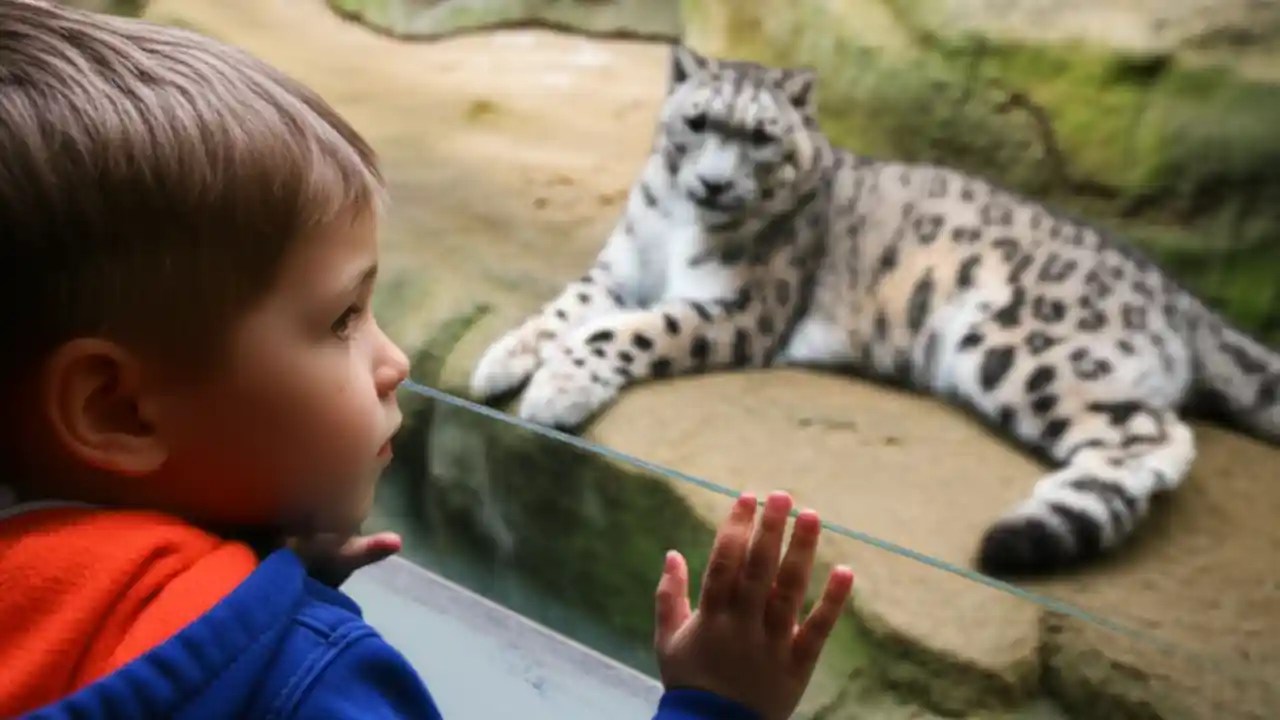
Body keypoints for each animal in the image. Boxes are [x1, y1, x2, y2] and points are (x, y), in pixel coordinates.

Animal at [468, 44, 1280, 577]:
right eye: (696, 122)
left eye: (760, 137)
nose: (713, 184)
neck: (672, 228)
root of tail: (1174, 293)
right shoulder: (619, 268)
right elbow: (568, 308)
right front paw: (503, 358)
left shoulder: (736, 305)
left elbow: (629, 331)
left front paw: (557, 386)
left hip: (1023, 350)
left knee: (1157, 436)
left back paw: (1032, 521)